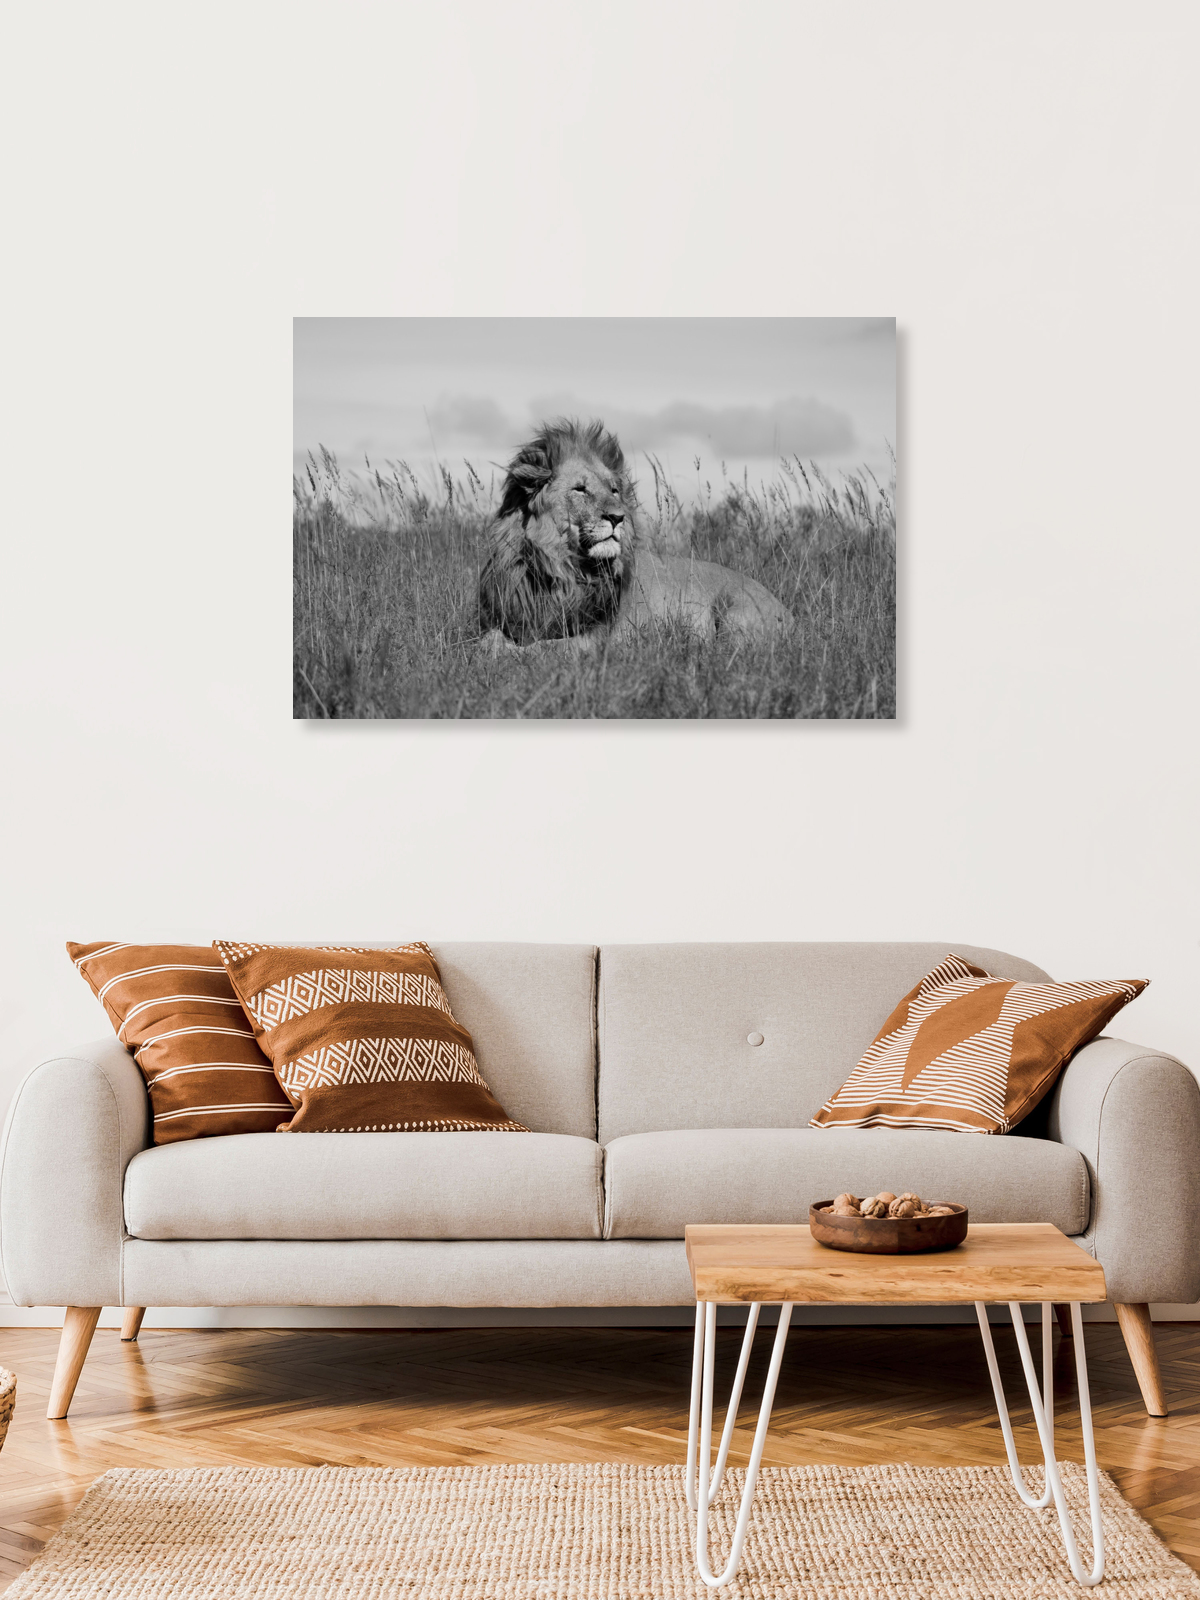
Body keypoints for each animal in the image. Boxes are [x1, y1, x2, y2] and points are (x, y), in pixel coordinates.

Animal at [478, 419, 789, 648]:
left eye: (613, 490)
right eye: (580, 489)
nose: (618, 518)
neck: (558, 569)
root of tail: (786, 610)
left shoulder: (594, 640)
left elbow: (544, 648)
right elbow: (489, 639)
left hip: (734, 615)